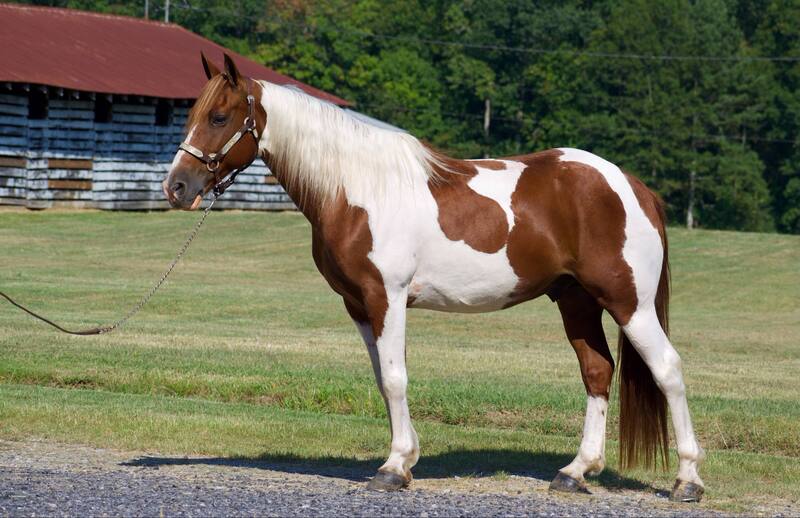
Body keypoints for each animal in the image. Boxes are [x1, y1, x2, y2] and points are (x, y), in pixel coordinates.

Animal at [163, 53, 705, 503]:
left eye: (219, 117)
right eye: (190, 115)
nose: (177, 187)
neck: (357, 189)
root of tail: (632, 186)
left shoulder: (387, 296)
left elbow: (396, 378)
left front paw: (392, 468)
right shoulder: (358, 305)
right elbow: (383, 379)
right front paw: (404, 459)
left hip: (628, 302)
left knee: (668, 370)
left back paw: (687, 481)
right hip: (576, 301)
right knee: (597, 372)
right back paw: (575, 472)